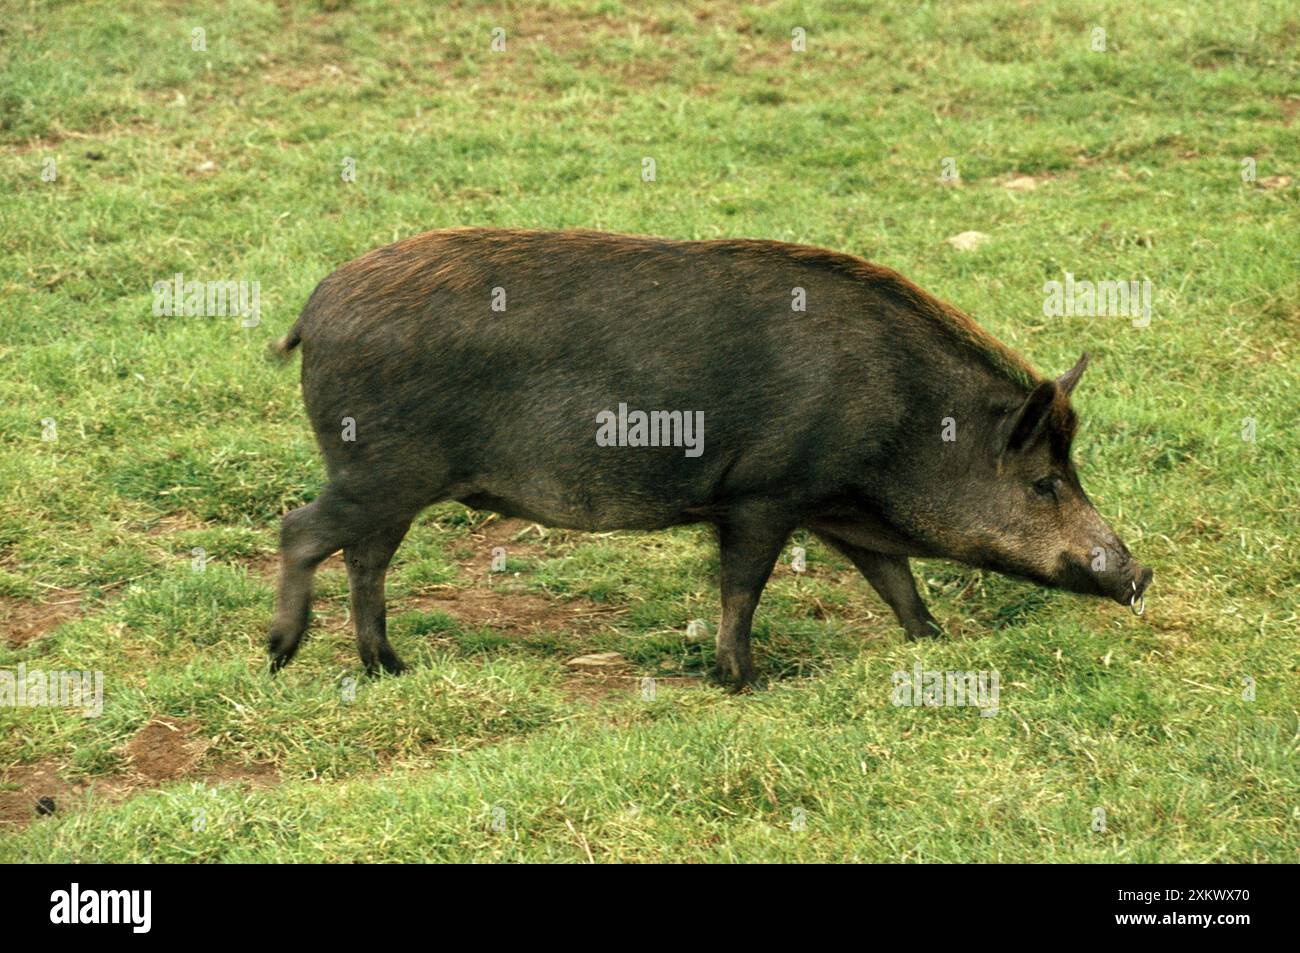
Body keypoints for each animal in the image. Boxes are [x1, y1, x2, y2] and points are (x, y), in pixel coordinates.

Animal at [268, 228, 1152, 686]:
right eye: (1044, 482)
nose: (1140, 574)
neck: (901, 417)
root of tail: (313, 310)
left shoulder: (838, 510)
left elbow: (896, 581)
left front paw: (935, 641)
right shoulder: (765, 494)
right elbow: (743, 586)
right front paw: (745, 678)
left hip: (392, 484)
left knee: (365, 558)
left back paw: (390, 665)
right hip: (381, 469)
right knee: (301, 529)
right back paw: (281, 655)